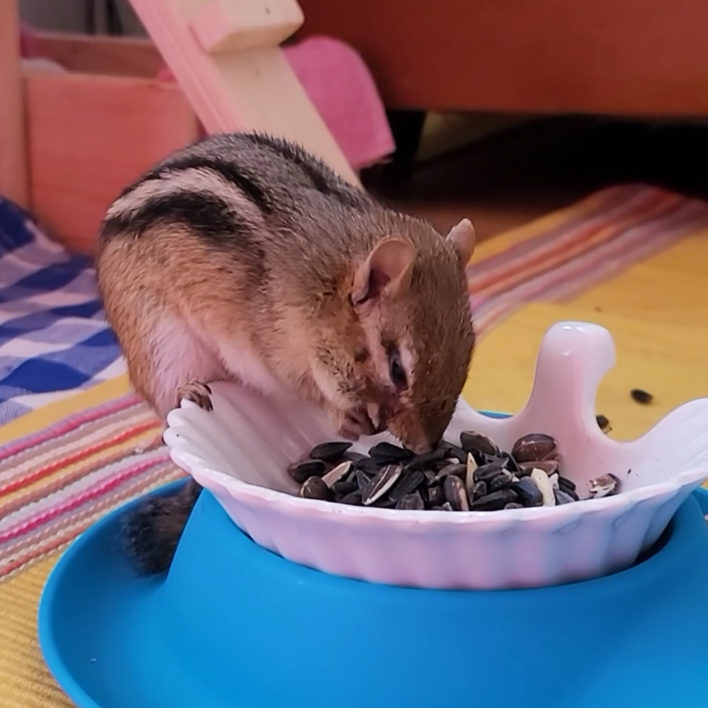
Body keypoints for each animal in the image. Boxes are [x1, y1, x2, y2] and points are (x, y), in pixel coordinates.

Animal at [95, 132, 476, 574]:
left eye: (470, 350)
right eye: (397, 368)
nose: (427, 448)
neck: (324, 281)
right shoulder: (275, 351)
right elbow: (300, 388)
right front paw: (347, 419)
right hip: (159, 344)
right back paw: (187, 390)